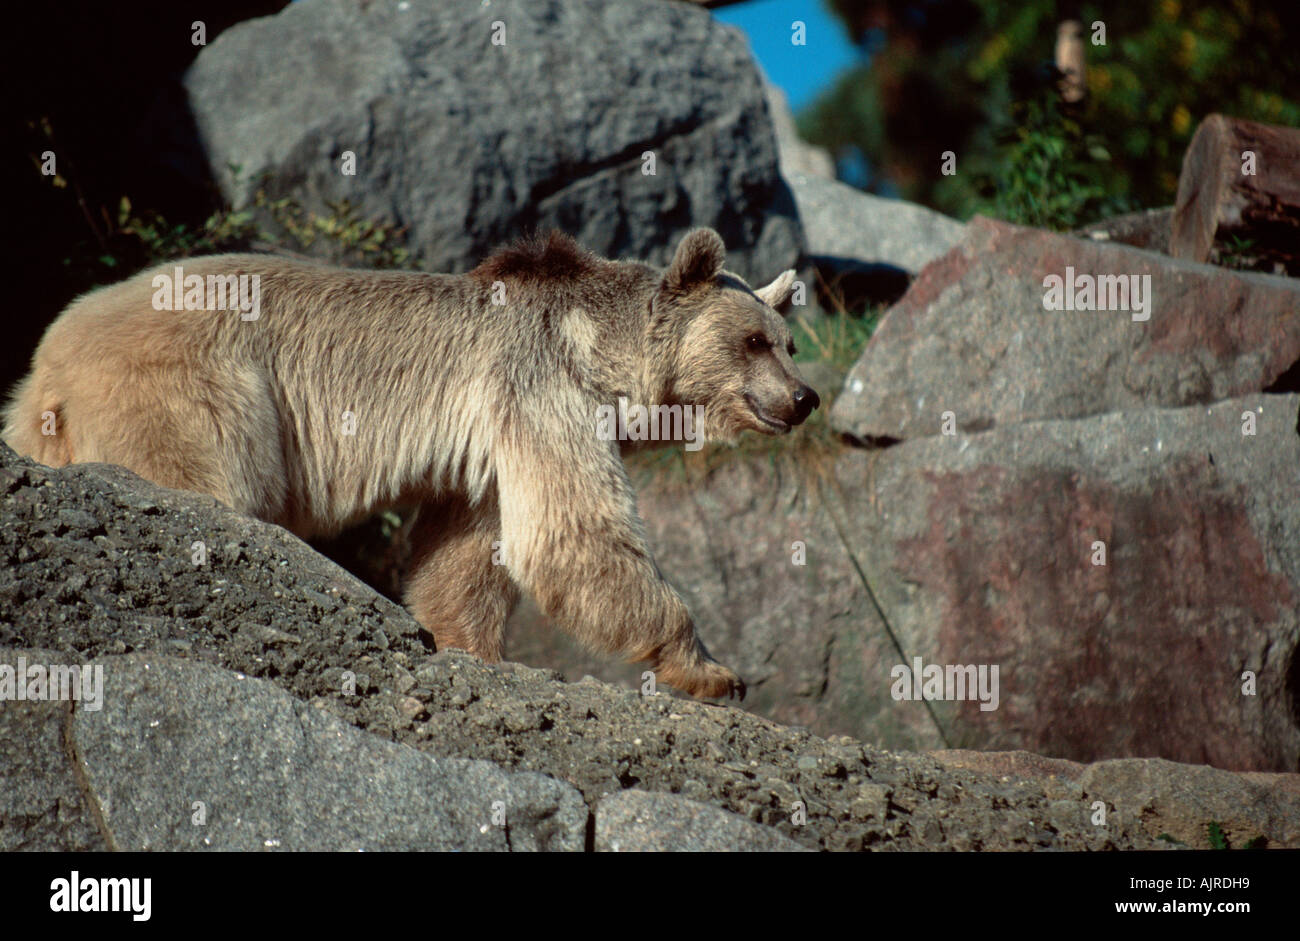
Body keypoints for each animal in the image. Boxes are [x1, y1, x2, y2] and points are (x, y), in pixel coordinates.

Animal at [3, 228, 819, 699]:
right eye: (753, 340)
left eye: (788, 341)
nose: (804, 397)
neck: (599, 351)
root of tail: (51, 358)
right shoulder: (538, 386)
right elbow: (570, 534)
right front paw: (711, 669)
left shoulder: (495, 439)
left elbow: (472, 552)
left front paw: (477, 650)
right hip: (197, 387)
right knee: (202, 477)